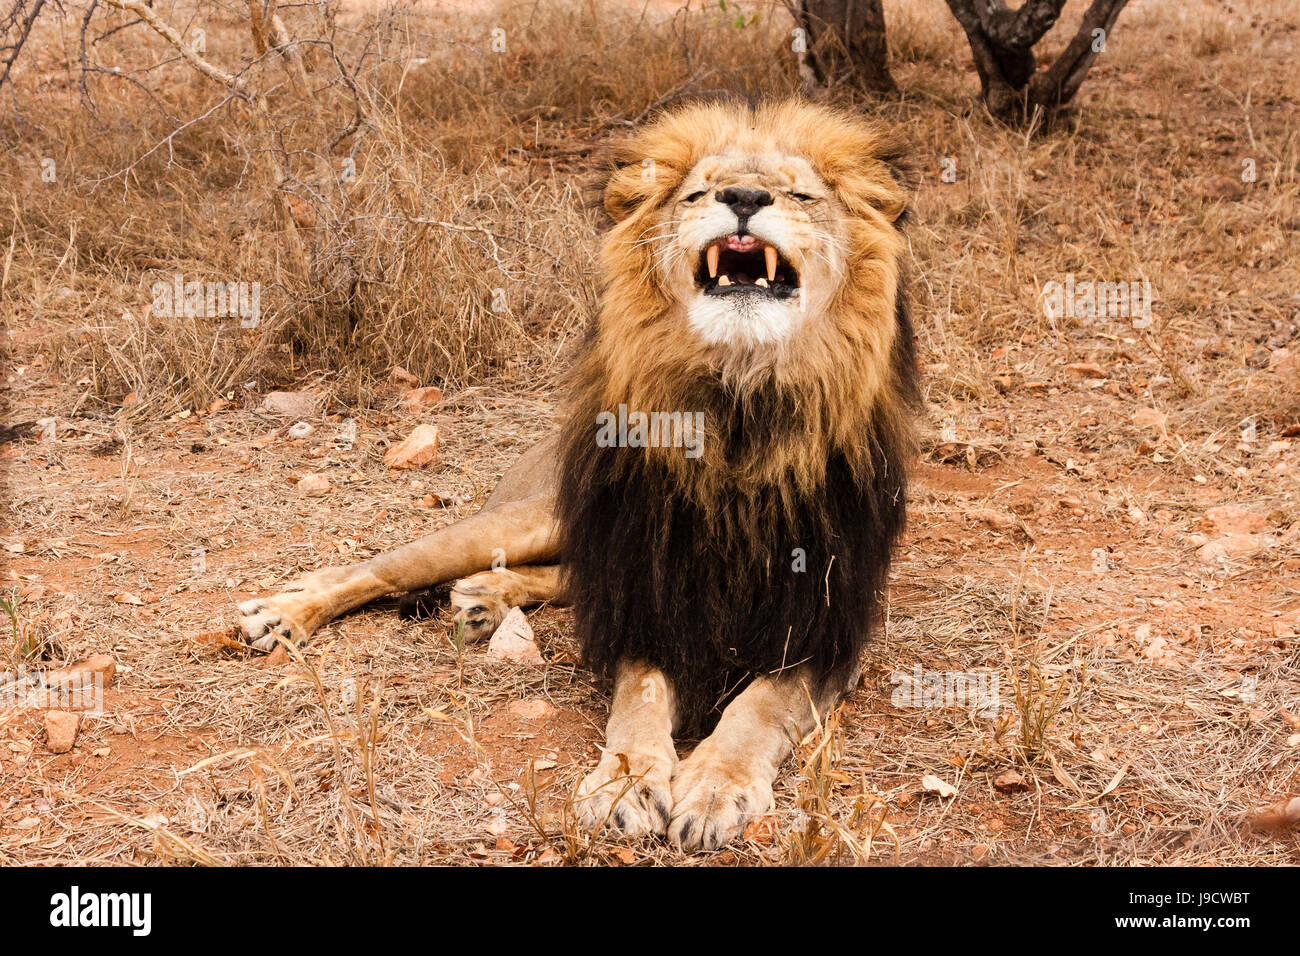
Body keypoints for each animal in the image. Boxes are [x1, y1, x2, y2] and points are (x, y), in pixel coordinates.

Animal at [236, 99, 918, 851]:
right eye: (698, 193)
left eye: (801, 195)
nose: (742, 198)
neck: (739, 414)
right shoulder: (645, 596)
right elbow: (641, 698)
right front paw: (626, 781)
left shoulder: (826, 628)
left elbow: (759, 707)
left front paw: (716, 786)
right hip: (532, 519)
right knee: (384, 566)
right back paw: (284, 613)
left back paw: (483, 599)